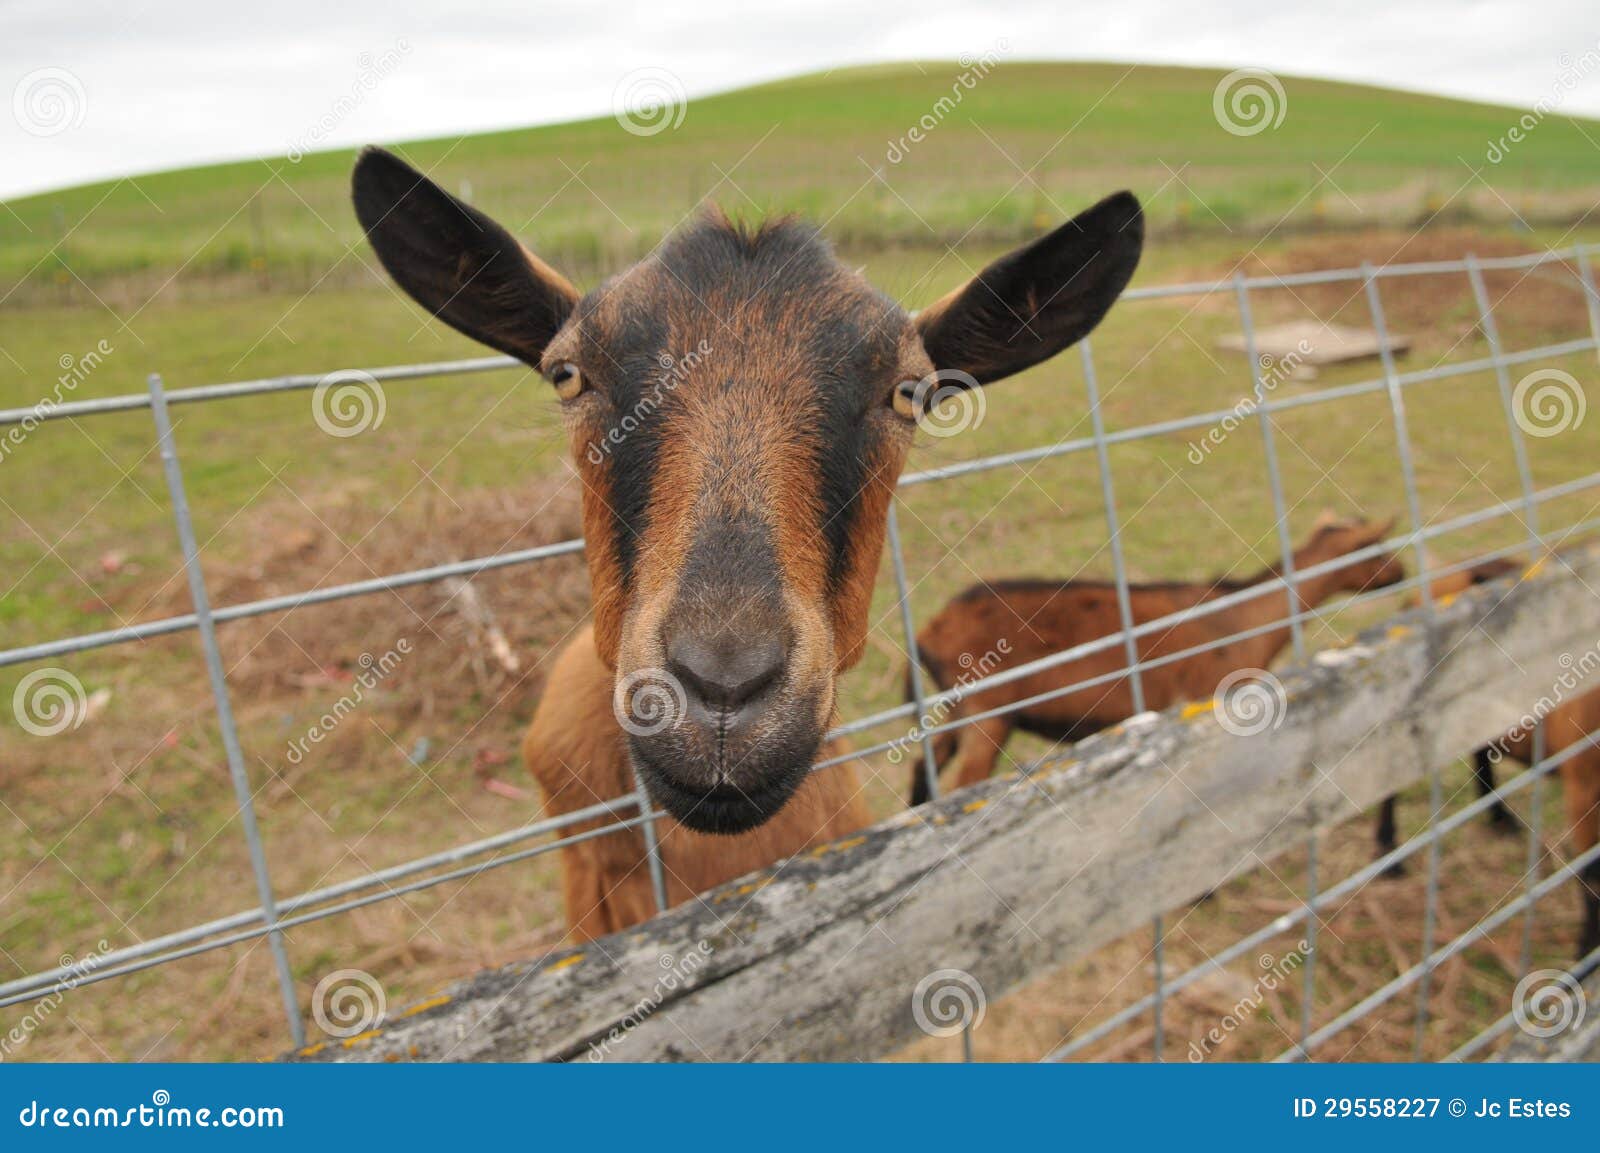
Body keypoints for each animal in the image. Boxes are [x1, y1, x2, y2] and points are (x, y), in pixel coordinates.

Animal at [906, 514, 1403, 805]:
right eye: (1374, 548)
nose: (1401, 572)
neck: (1239, 618)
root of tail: (929, 630)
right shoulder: (1207, 699)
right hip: (987, 713)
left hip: (957, 708)